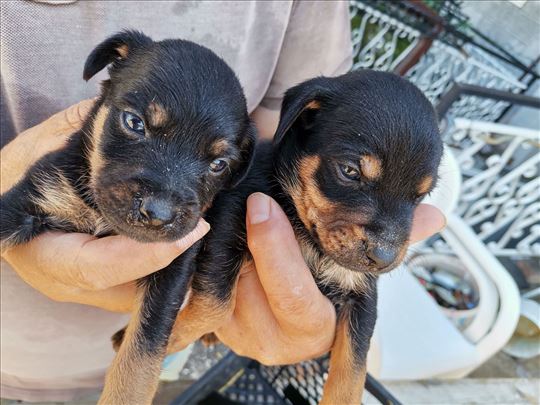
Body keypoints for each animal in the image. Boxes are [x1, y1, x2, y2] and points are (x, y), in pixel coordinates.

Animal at [0, 30, 258, 404]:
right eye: (134, 123)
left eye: (219, 164)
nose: (159, 214)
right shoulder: (34, 194)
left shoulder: (174, 266)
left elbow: (140, 356)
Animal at [141, 70, 440, 404]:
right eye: (349, 171)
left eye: (421, 196)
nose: (384, 257)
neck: (311, 240)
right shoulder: (229, 224)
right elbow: (217, 302)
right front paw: (172, 338)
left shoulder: (362, 294)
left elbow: (354, 365)